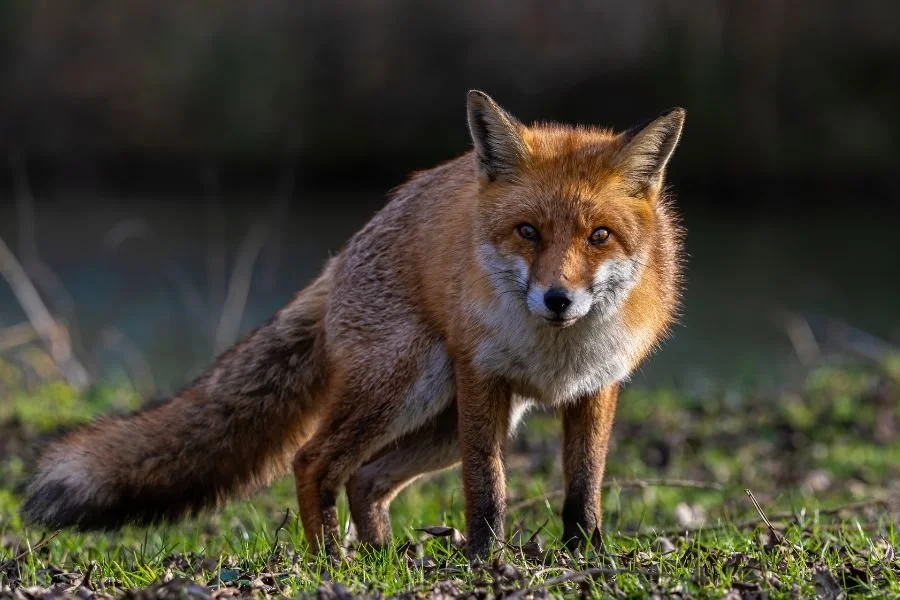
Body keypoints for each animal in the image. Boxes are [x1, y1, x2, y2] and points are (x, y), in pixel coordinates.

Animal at [23, 91, 685, 559]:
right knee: (314, 461)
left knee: (366, 477)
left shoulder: (597, 387)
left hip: (442, 421)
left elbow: (583, 487)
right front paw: (486, 559)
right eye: (528, 231)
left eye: (599, 236)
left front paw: (585, 555)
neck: (556, 353)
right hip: (409, 390)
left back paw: (382, 556)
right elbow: (487, 487)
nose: (557, 299)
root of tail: (340, 256)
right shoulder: (482, 379)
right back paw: (331, 560)